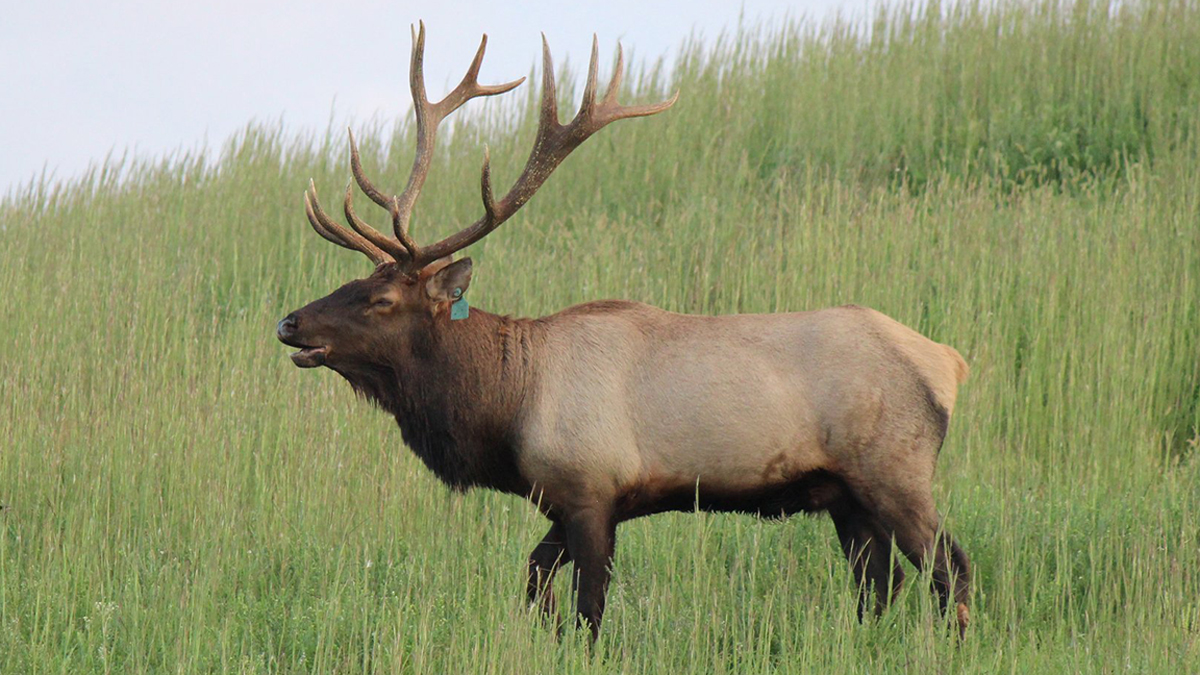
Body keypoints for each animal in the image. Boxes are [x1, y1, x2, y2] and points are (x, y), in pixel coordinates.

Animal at [276, 23, 973, 641]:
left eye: (382, 299)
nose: (289, 322)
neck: (506, 402)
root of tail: (950, 363)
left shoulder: (592, 487)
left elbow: (590, 607)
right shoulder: (561, 498)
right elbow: (534, 579)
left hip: (893, 469)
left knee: (950, 567)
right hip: (847, 495)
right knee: (880, 584)